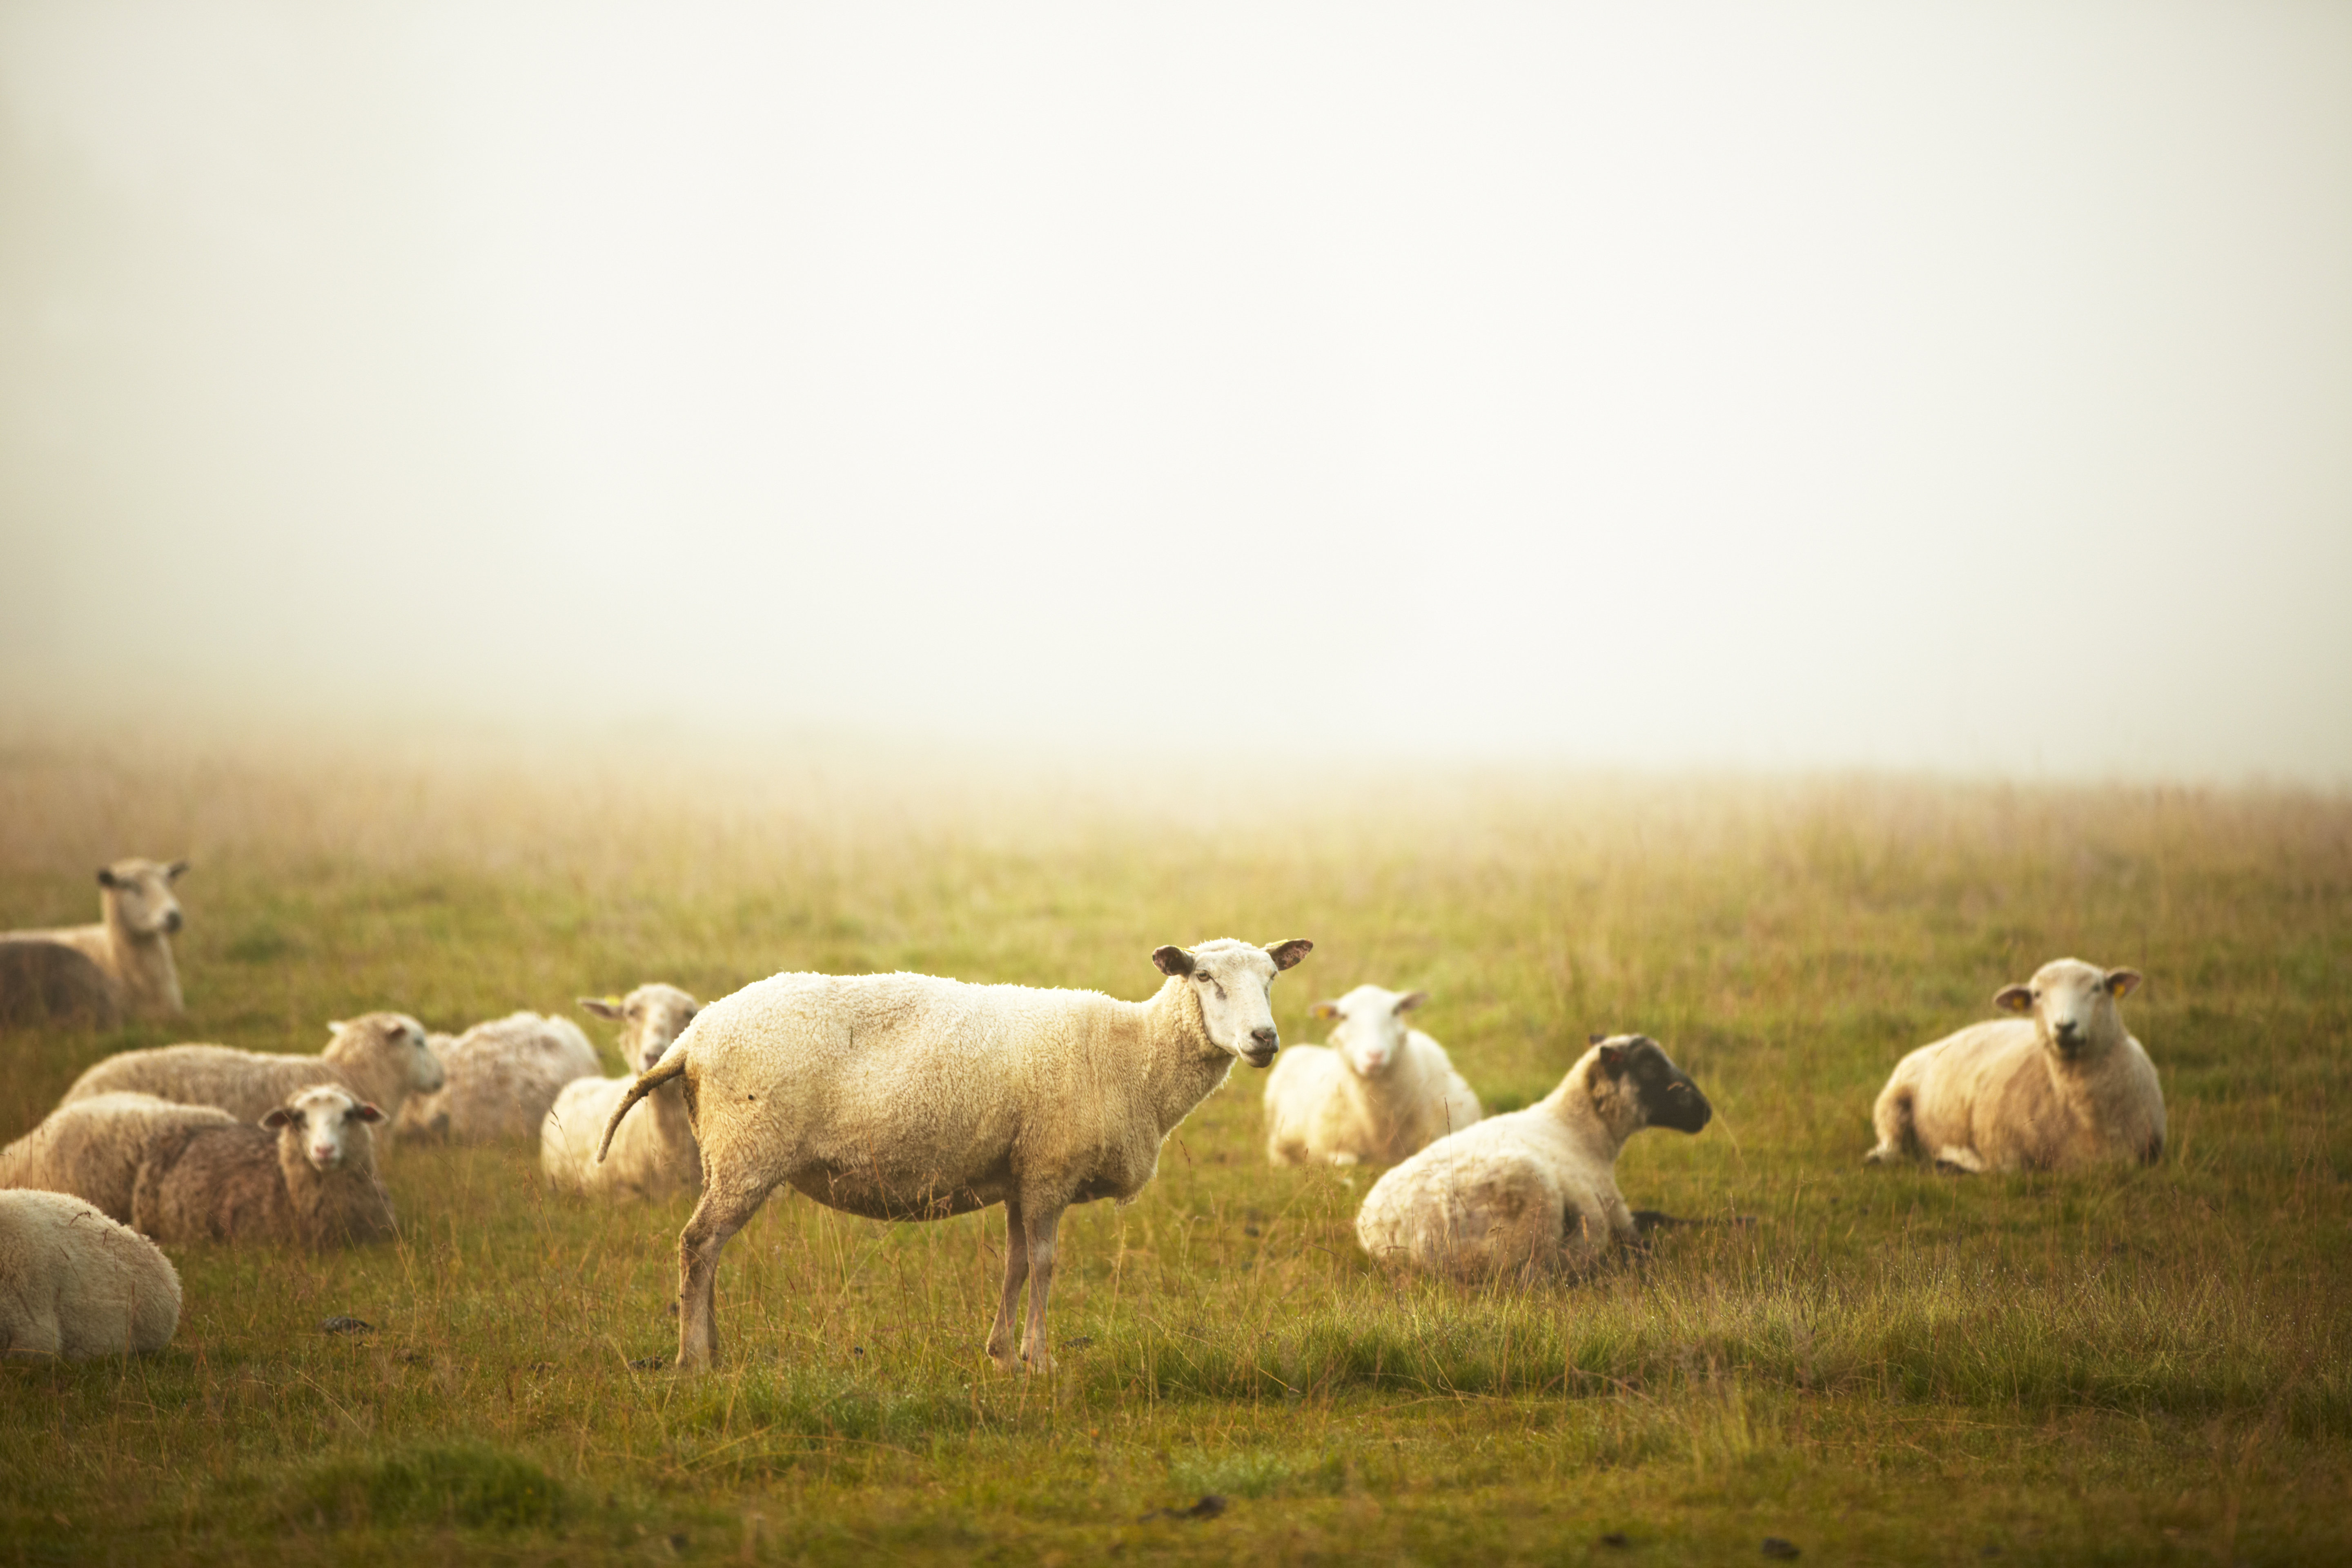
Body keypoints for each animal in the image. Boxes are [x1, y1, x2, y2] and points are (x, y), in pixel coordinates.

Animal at [597, 936, 1314, 1373]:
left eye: (1273, 979)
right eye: (1205, 978)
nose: (1264, 1039)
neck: (1131, 1054)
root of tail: (694, 1037)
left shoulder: (1021, 1174)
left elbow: (1016, 1264)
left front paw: (1001, 1354)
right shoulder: (1050, 1170)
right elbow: (1046, 1265)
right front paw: (1039, 1360)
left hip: (727, 1153)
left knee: (710, 1249)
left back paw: (713, 1348)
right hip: (748, 1149)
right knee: (698, 1244)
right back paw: (693, 1360)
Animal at [1354, 1034, 1712, 1279]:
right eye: (1651, 1067)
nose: (1706, 1112)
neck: (1582, 1131)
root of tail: (1395, 1238)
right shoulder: (1614, 1205)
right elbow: (1641, 1239)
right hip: (1531, 1209)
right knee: (1533, 1275)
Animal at [1865, 958, 2163, 1173]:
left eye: (2097, 988)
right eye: (2037, 995)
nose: (2065, 1026)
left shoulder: (2152, 1152)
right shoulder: (2000, 1145)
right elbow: (2002, 1168)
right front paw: (1956, 1157)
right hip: (1891, 1105)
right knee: (1891, 1147)